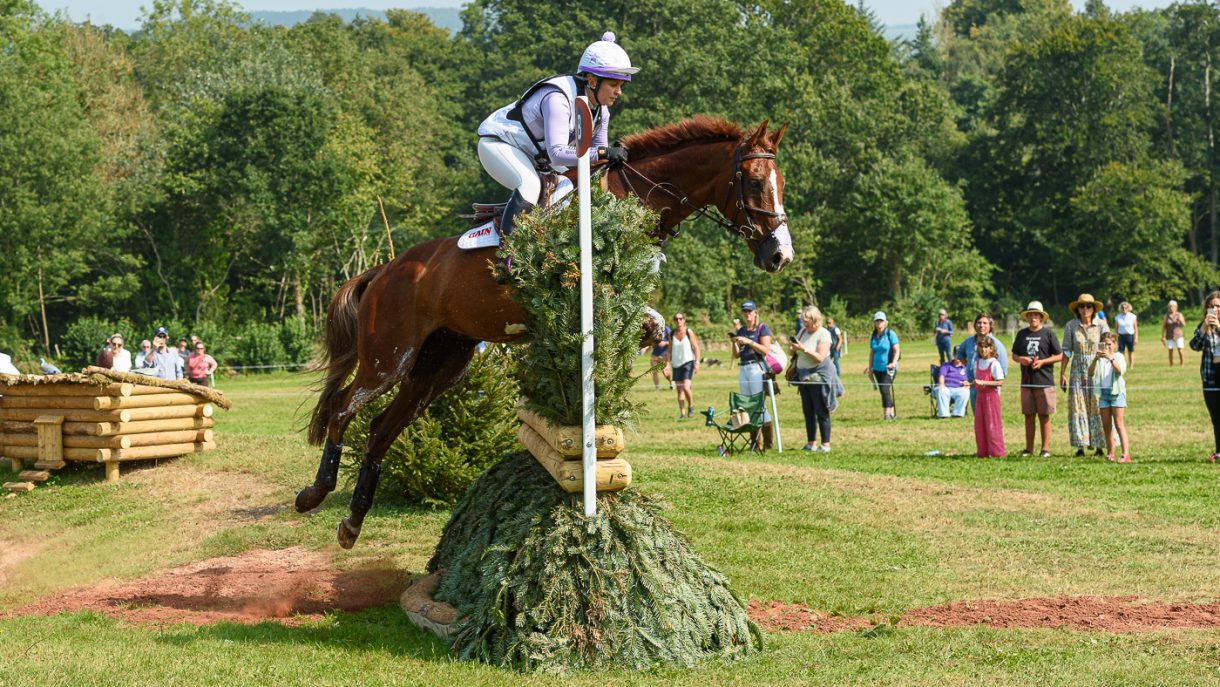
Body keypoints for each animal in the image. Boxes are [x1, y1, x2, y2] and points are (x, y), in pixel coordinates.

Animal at [295, 117, 794, 548]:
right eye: (753, 182)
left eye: (781, 182)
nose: (780, 256)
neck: (626, 202)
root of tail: (382, 271)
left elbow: (652, 327)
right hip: (389, 357)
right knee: (342, 410)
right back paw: (314, 493)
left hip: (441, 365)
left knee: (381, 429)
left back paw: (352, 523)